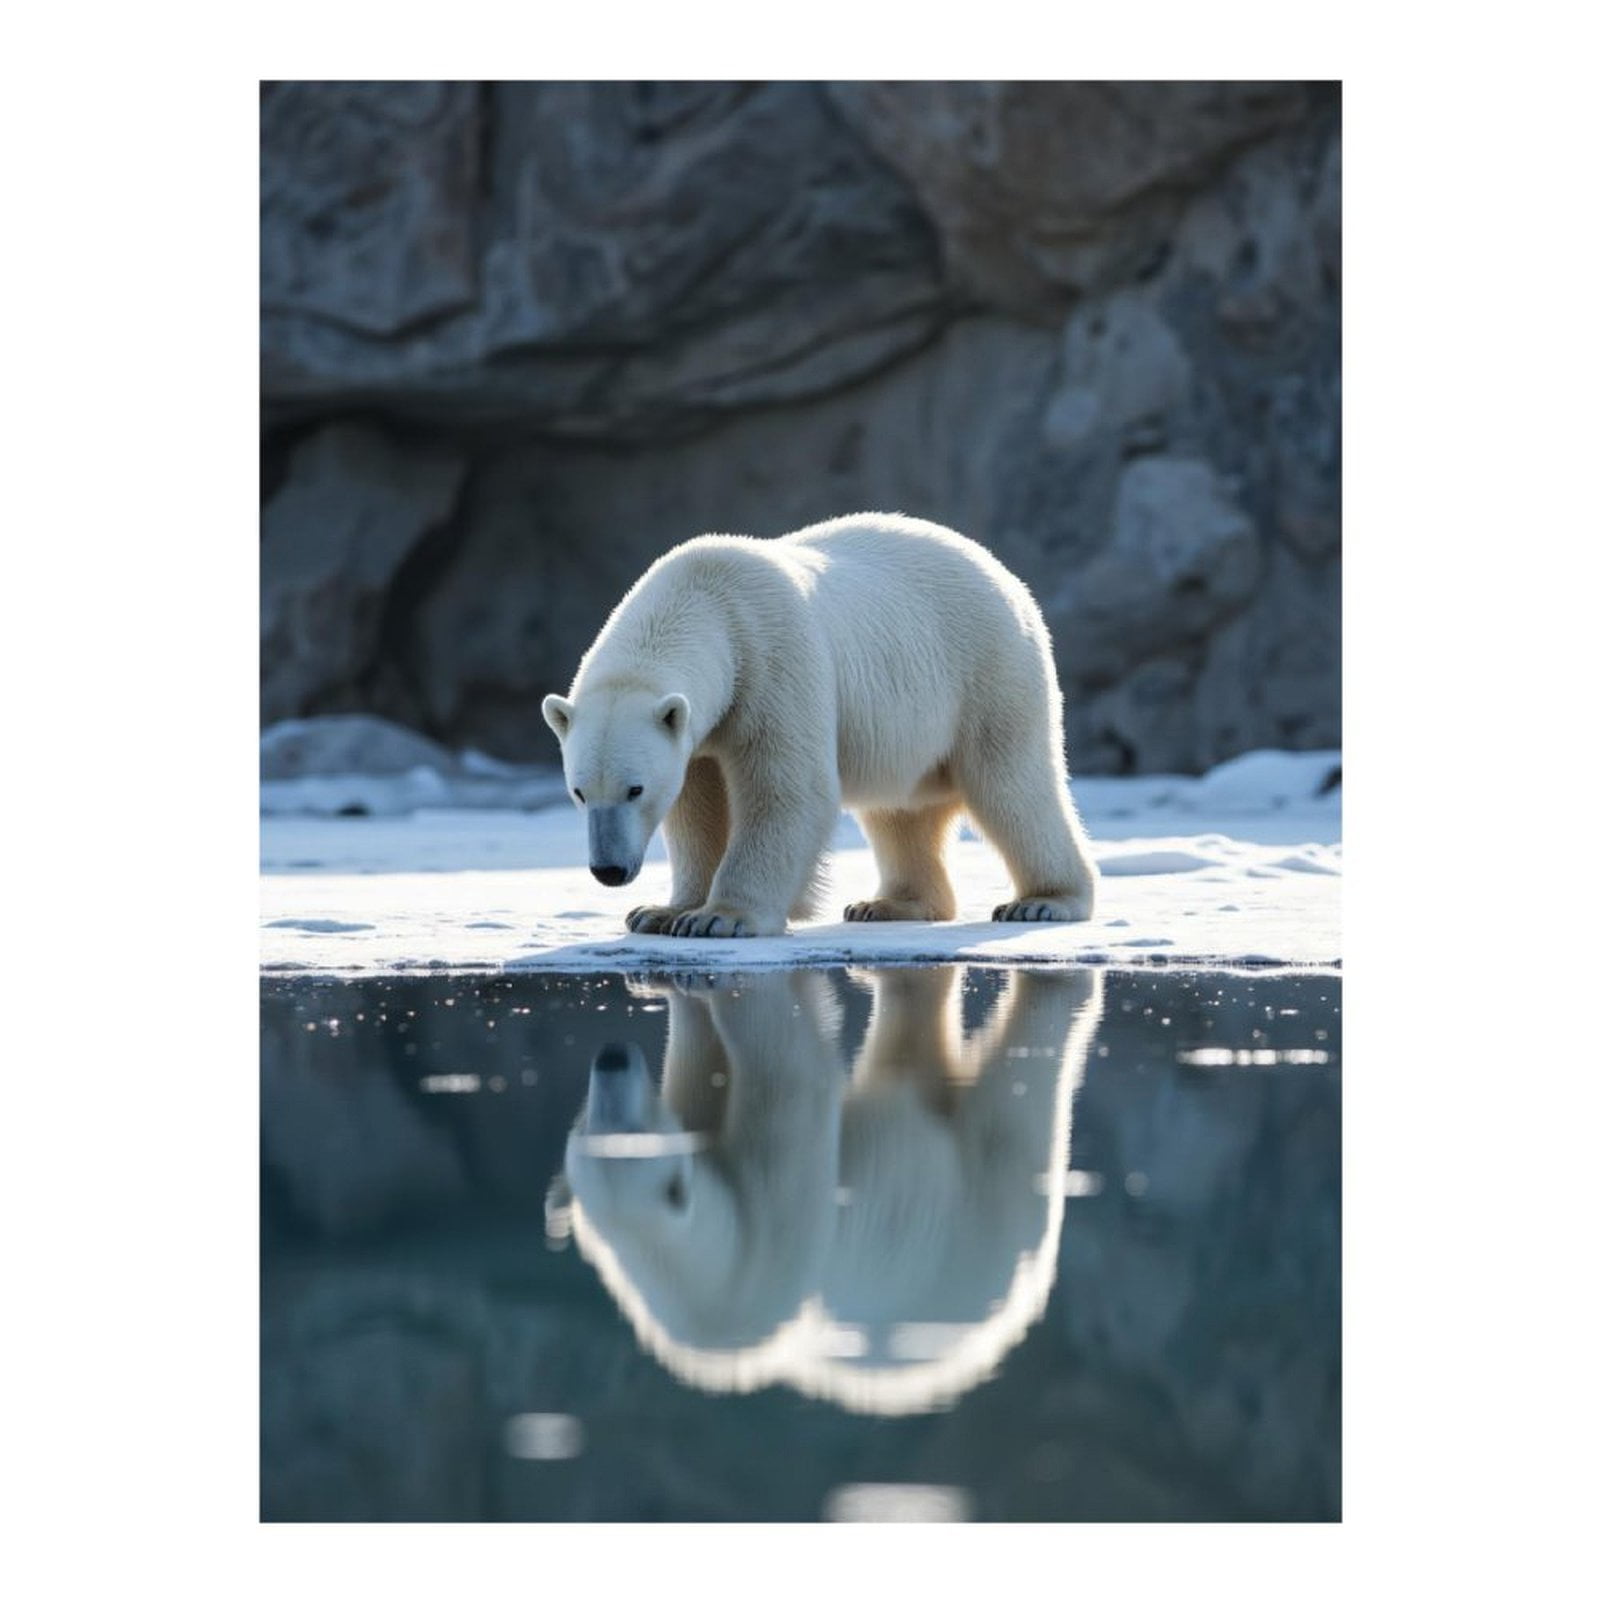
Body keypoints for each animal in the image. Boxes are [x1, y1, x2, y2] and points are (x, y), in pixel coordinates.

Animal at [541, 512, 1097, 937]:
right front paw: (661, 912)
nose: (610, 871)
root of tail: (1005, 576)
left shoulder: (772, 663)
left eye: (634, 789)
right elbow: (696, 806)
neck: (706, 600)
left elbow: (787, 789)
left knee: (1011, 786)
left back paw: (1044, 901)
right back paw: (889, 905)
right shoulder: (702, 730)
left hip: (989, 670)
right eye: (579, 792)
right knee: (901, 809)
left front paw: (721, 918)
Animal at [547, 965, 1105, 1414]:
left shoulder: (774, 1227)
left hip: (983, 1205)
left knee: (1013, 1098)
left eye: (626, 1126)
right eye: (590, 1123)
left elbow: (785, 1071)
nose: (612, 1058)